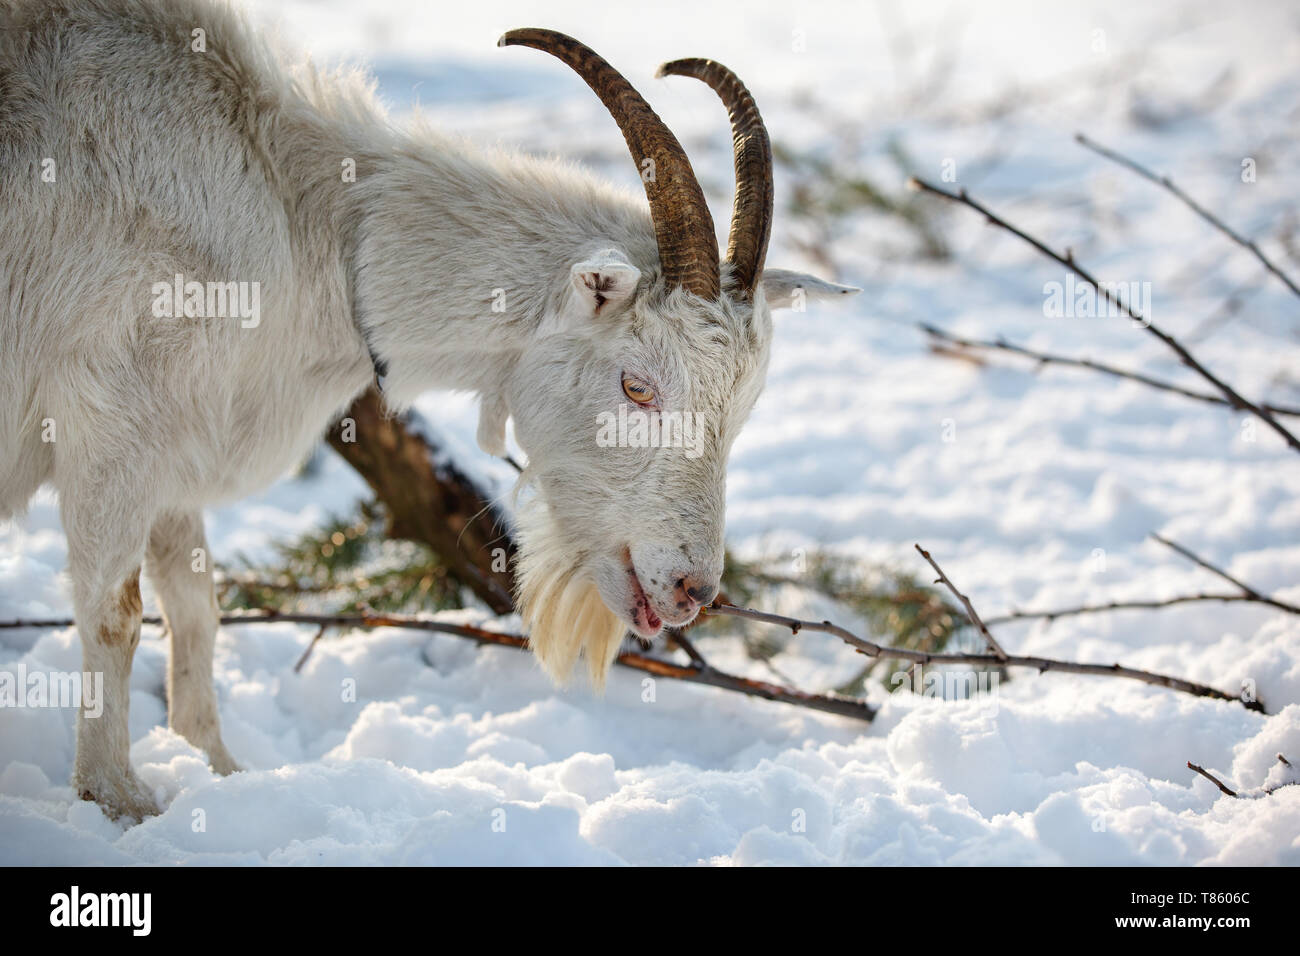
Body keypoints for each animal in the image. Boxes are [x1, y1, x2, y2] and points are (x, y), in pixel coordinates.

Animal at [0, 0, 858, 820]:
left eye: (742, 411)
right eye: (638, 387)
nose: (692, 591)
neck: (300, 213)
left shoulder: (175, 453)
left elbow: (194, 609)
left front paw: (220, 770)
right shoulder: (111, 426)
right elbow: (115, 613)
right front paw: (117, 797)